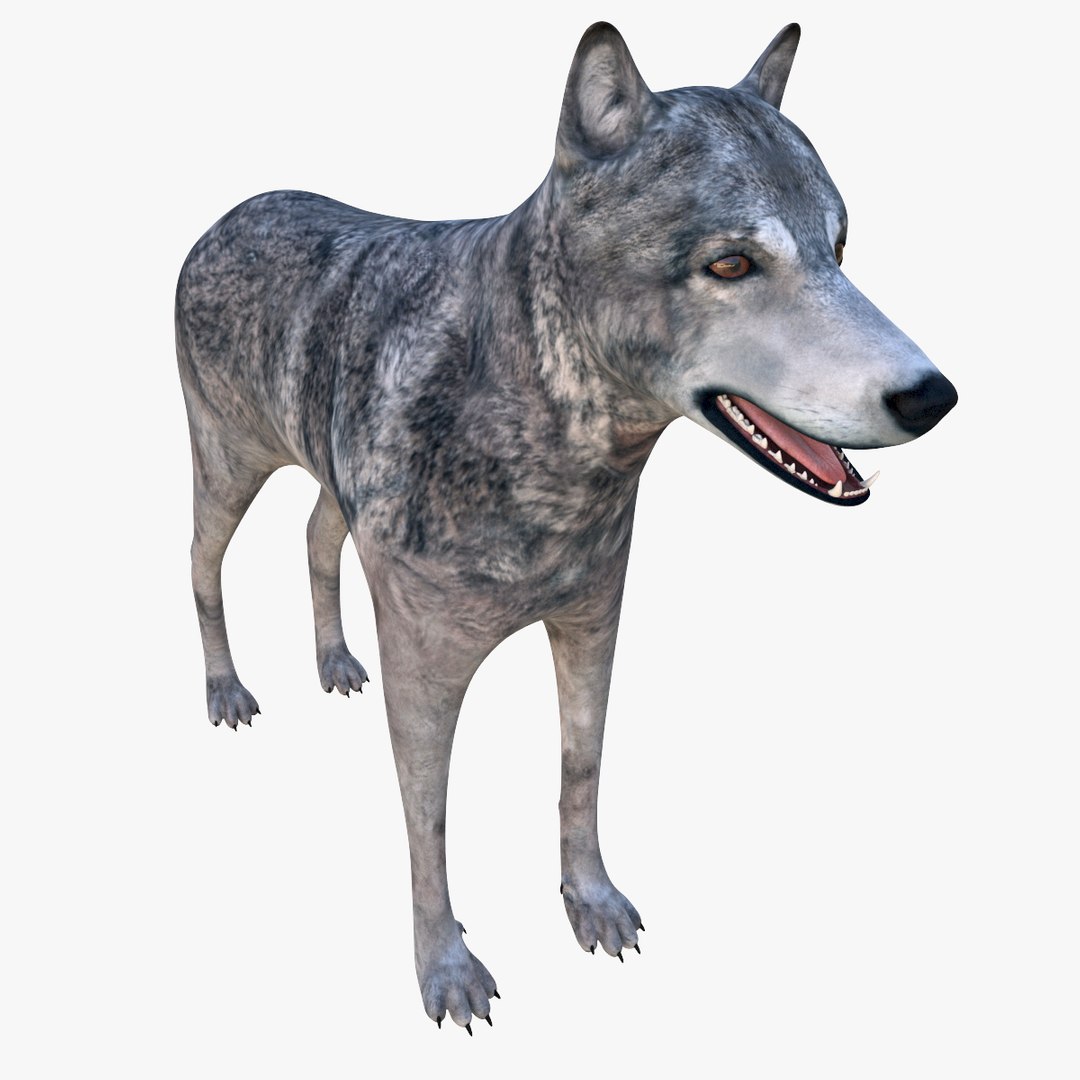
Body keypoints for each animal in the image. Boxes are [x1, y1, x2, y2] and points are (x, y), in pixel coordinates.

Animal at [175, 22, 957, 1032]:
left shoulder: (595, 622)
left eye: (841, 246)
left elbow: (580, 768)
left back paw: (334, 661)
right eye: (731, 264)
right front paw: (446, 968)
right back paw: (226, 690)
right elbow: (428, 825)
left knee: (316, 533)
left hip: (321, 473)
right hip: (226, 468)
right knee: (198, 564)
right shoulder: (424, 674)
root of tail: (228, 214)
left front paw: (591, 903)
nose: (934, 398)